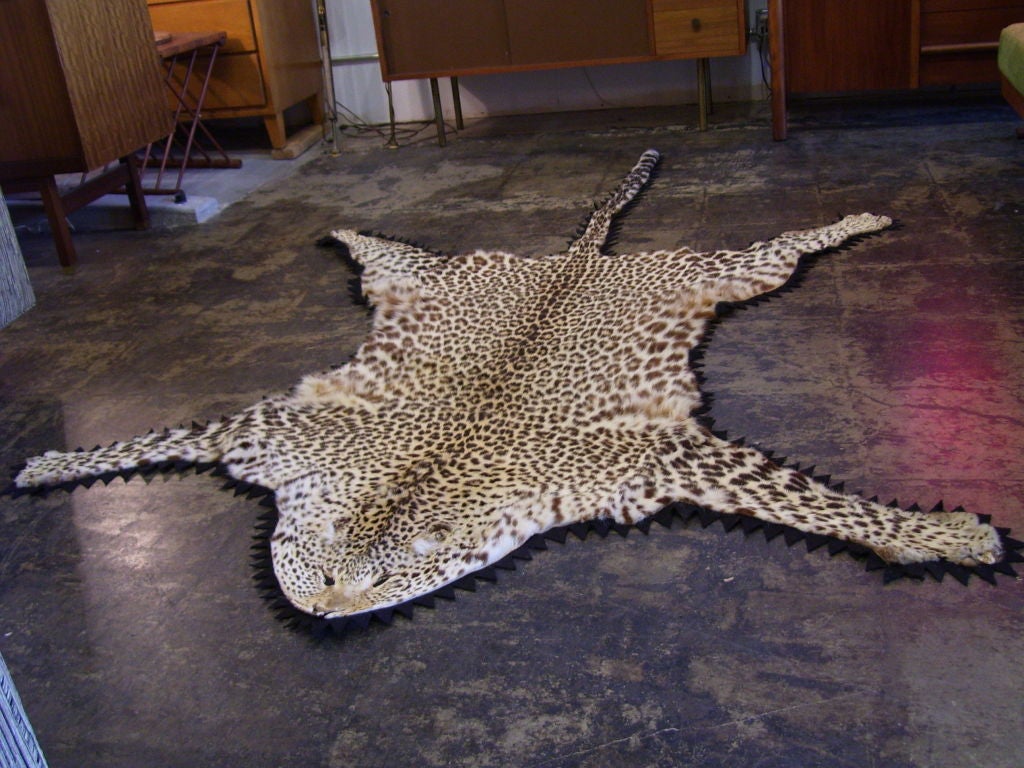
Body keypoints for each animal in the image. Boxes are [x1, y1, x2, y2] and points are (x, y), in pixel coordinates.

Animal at [13, 150, 1005, 620]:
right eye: (319, 563)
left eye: (390, 576)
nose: (325, 606)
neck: (415, 484)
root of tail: (573, 260)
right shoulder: (264, 429)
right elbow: (142, 441)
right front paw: (46, 466)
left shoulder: (664, 457)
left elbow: (829, 507)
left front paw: (947, 535)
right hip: (426, 276)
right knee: (383, 252)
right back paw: (342, 228)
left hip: (723, 273)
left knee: (787, 245)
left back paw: (860, 218)